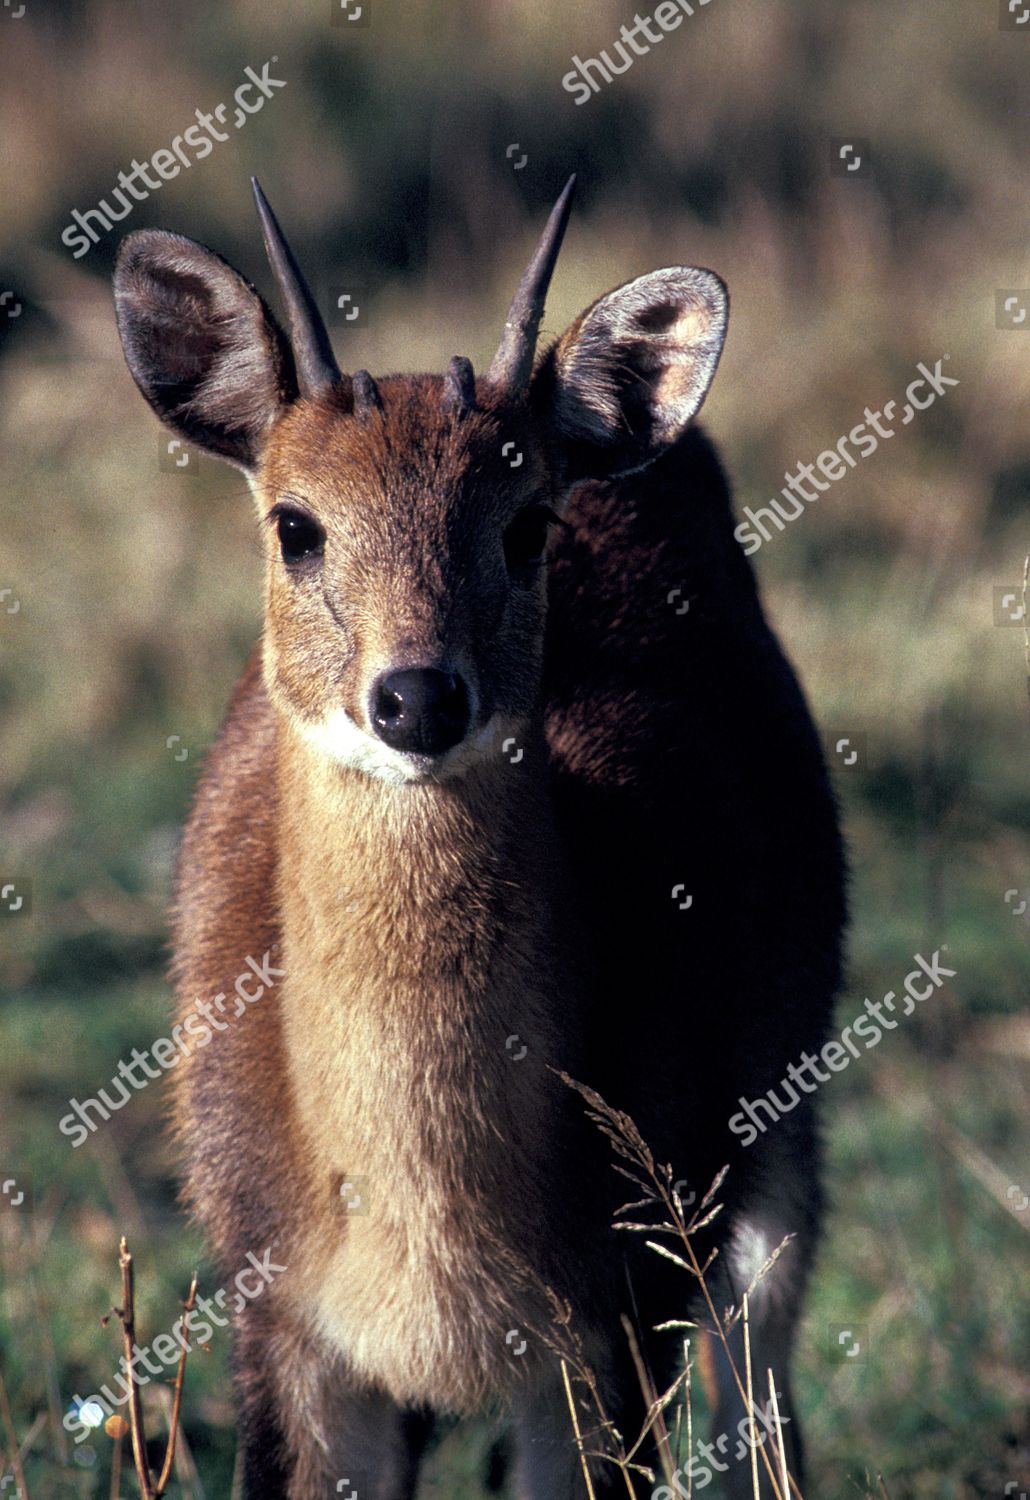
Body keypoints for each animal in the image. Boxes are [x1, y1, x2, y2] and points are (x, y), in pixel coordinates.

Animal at [113, 176, 846, 1499]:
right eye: (295, 523)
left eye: (525, 524)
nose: (416, 697)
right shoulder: (283, 1325)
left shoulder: (619, 1314)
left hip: (775, 1139)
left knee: (764, 1387)